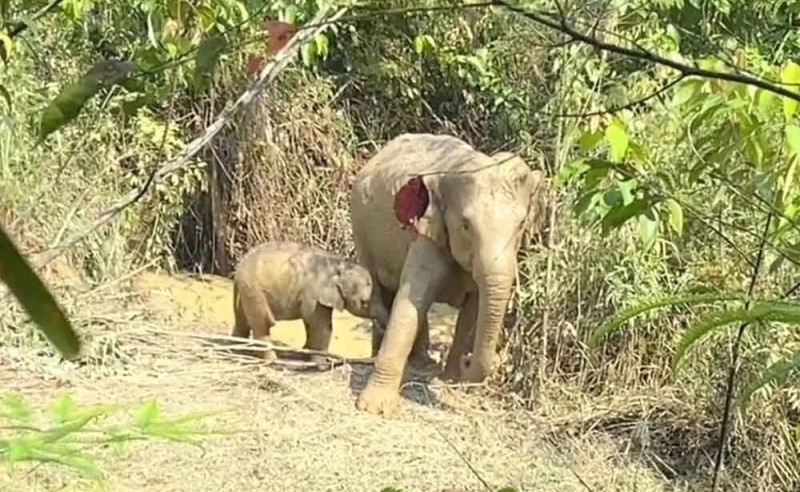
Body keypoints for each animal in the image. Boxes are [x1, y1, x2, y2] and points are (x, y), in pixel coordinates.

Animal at [230, 241, 374, 366]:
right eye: (364, 303)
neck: (339, 265)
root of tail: (238, 270)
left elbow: (310, 322)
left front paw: (305, 353)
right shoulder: (314, 293)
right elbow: (321, 325)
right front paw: (321, 365)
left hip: (245, 292)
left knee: (242, 322)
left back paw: (235, 351)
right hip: (254, 291)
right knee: (262, 324)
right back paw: (272, 361)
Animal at [349, 133, 548, 416]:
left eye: (521, 225)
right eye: (465, 225)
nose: (467, 363)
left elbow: (472, 310)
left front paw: (451, 378)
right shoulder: (426, 232)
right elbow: (409, 302)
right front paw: (375, 406)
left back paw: (423, 362)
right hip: (361, 229)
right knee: (379, 289)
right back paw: (377, 355)